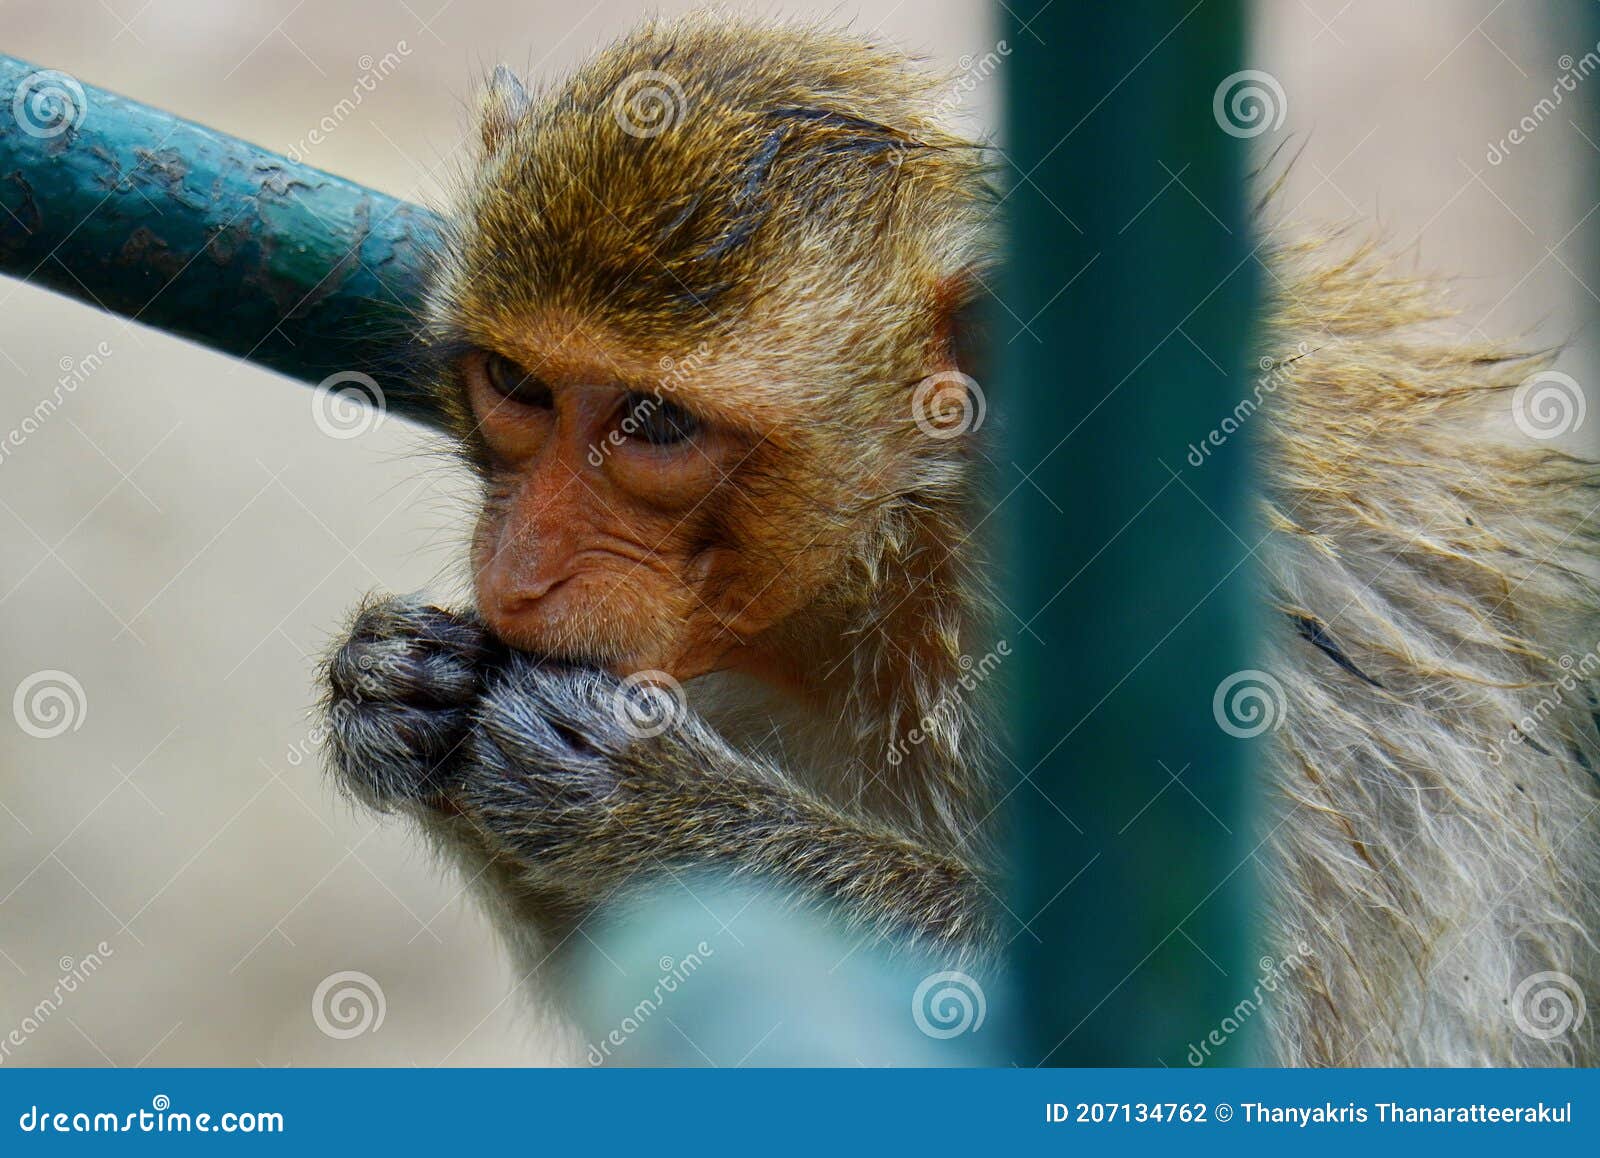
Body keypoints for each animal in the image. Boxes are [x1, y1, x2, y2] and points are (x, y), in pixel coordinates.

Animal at [320, 14, 1600, 1066]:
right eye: (515, 384)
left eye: (657, 424)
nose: (518, 573)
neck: (907, 532)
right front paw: (400, 687)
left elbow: (1267, 1038)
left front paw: (647, 804)